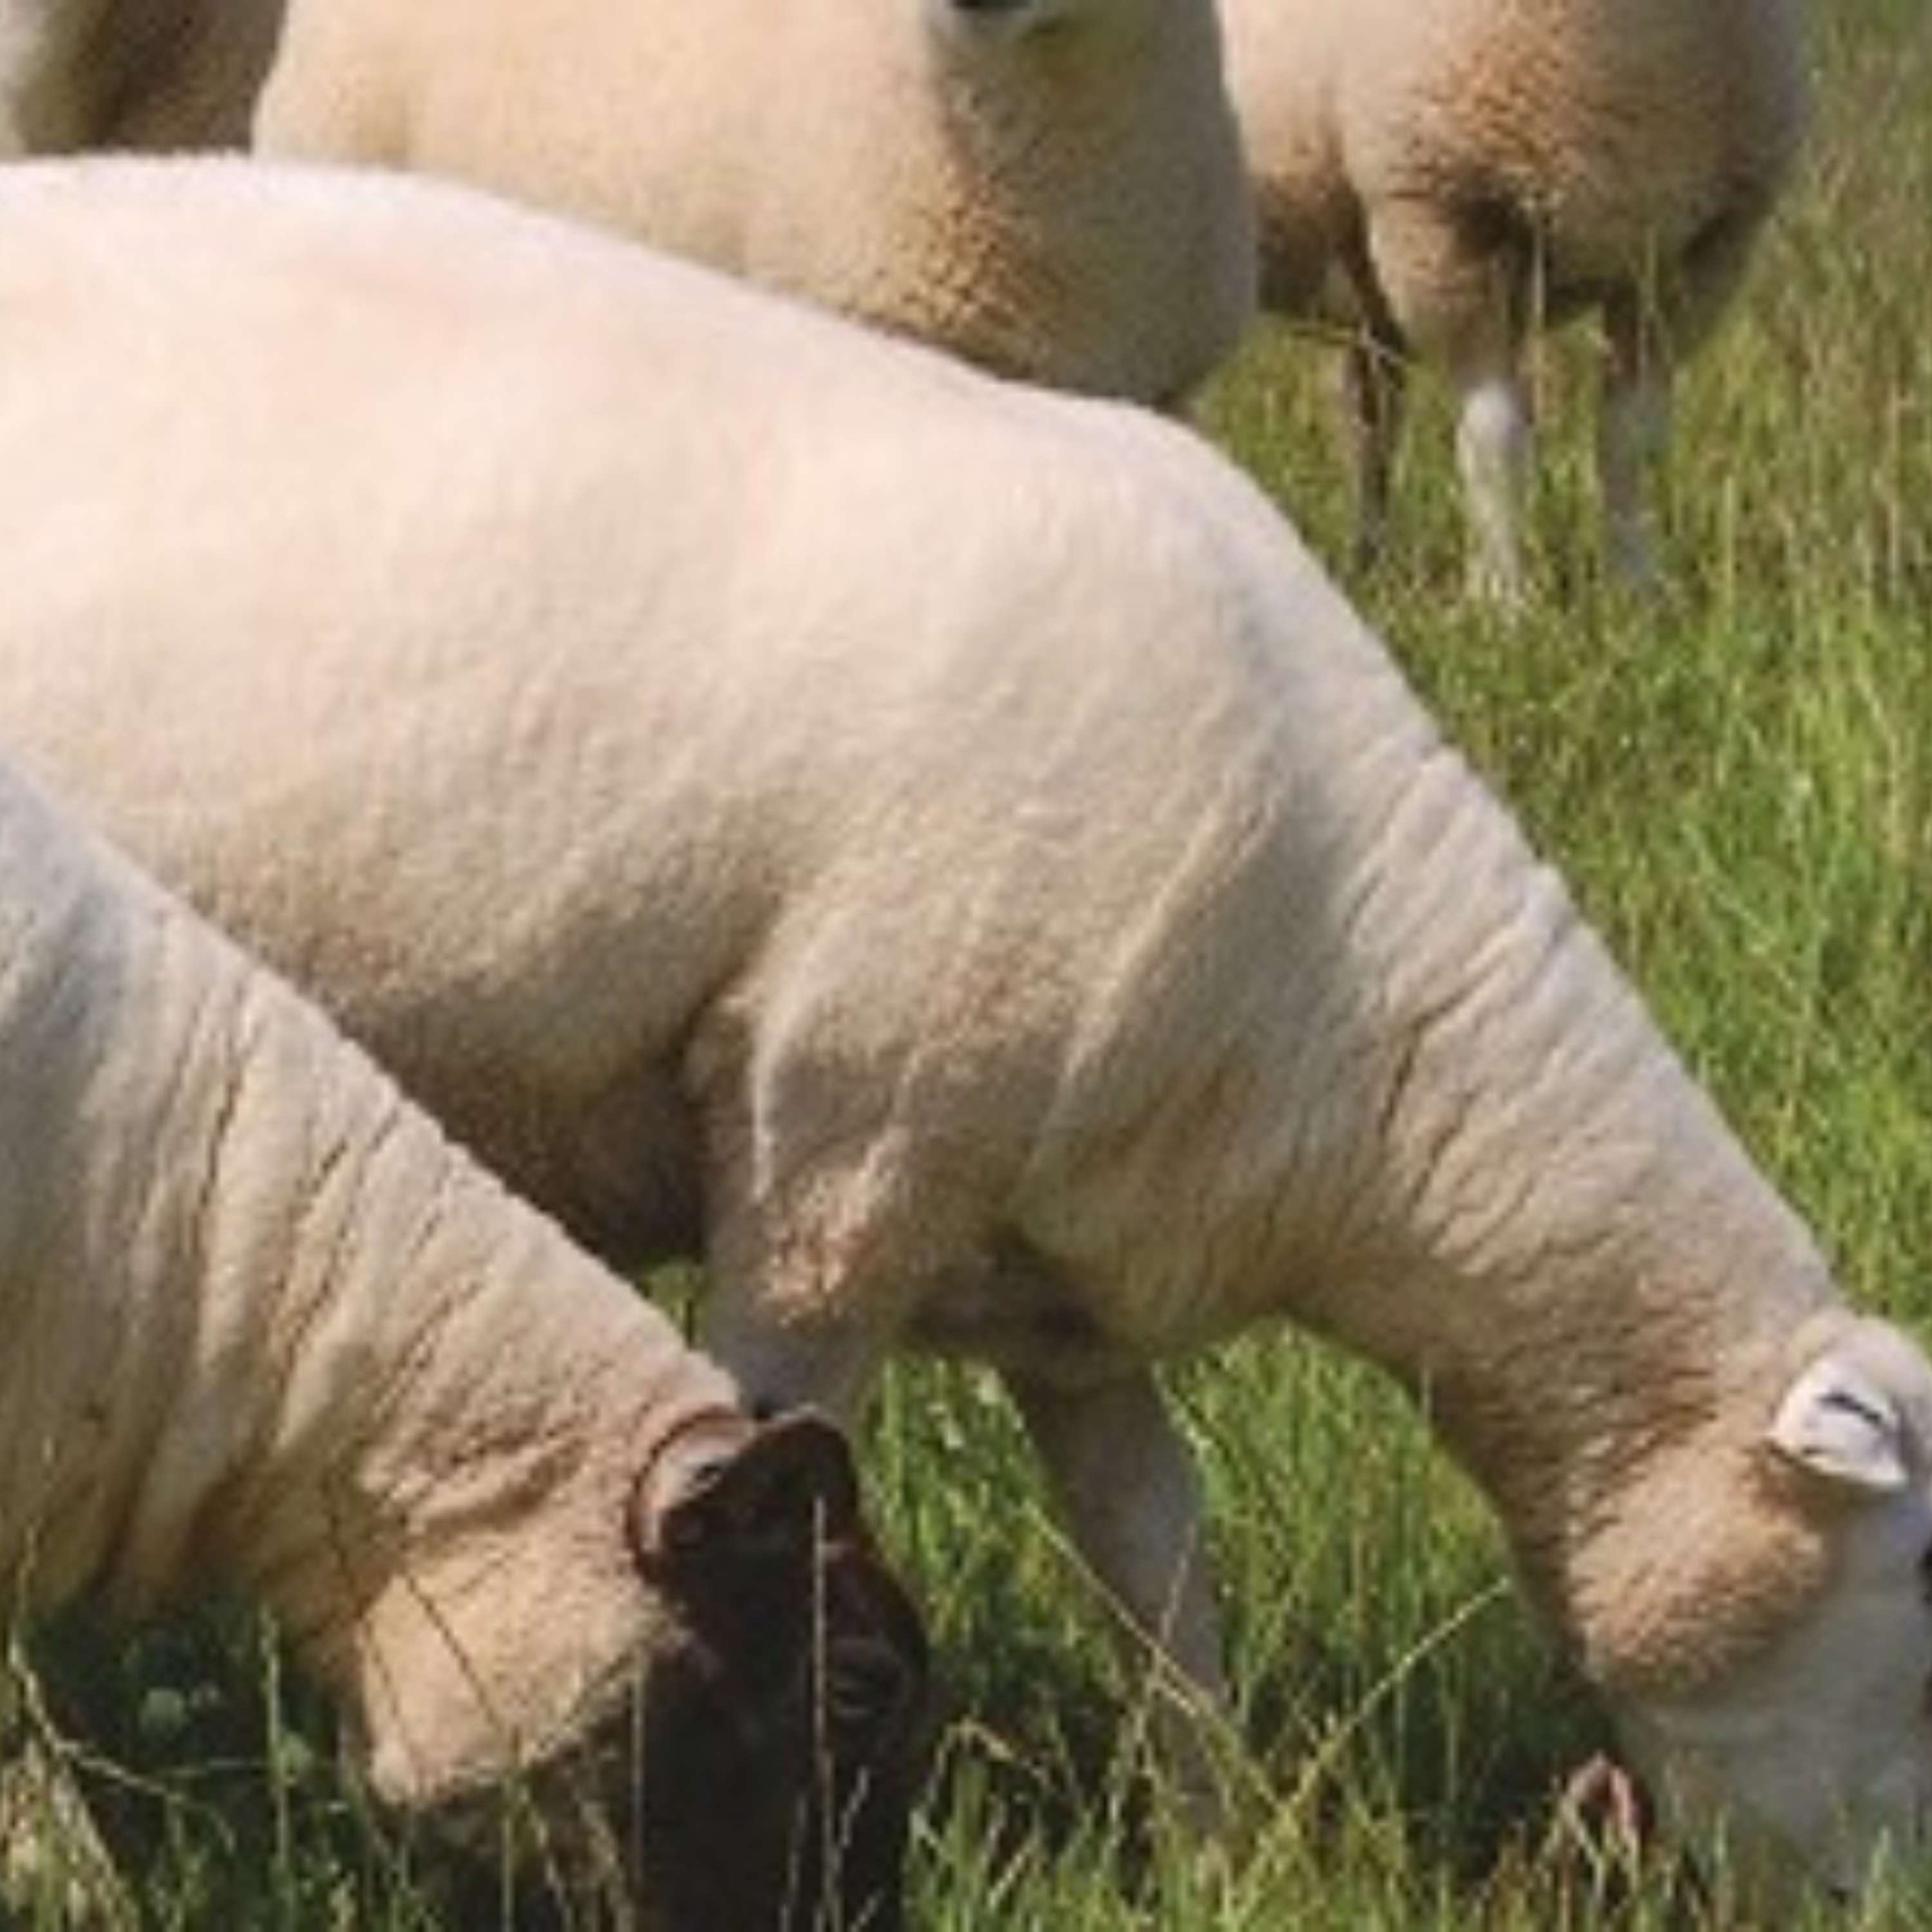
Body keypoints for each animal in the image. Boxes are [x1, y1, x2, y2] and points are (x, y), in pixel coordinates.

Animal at [1214, 0, 1808, 598]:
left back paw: (1366, 564)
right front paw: (1503, 596)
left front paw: (1635, 590)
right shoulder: (1450, 227)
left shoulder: (1695, 259)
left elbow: (1630, 442)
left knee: (1369, 419)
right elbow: (1495, 437)